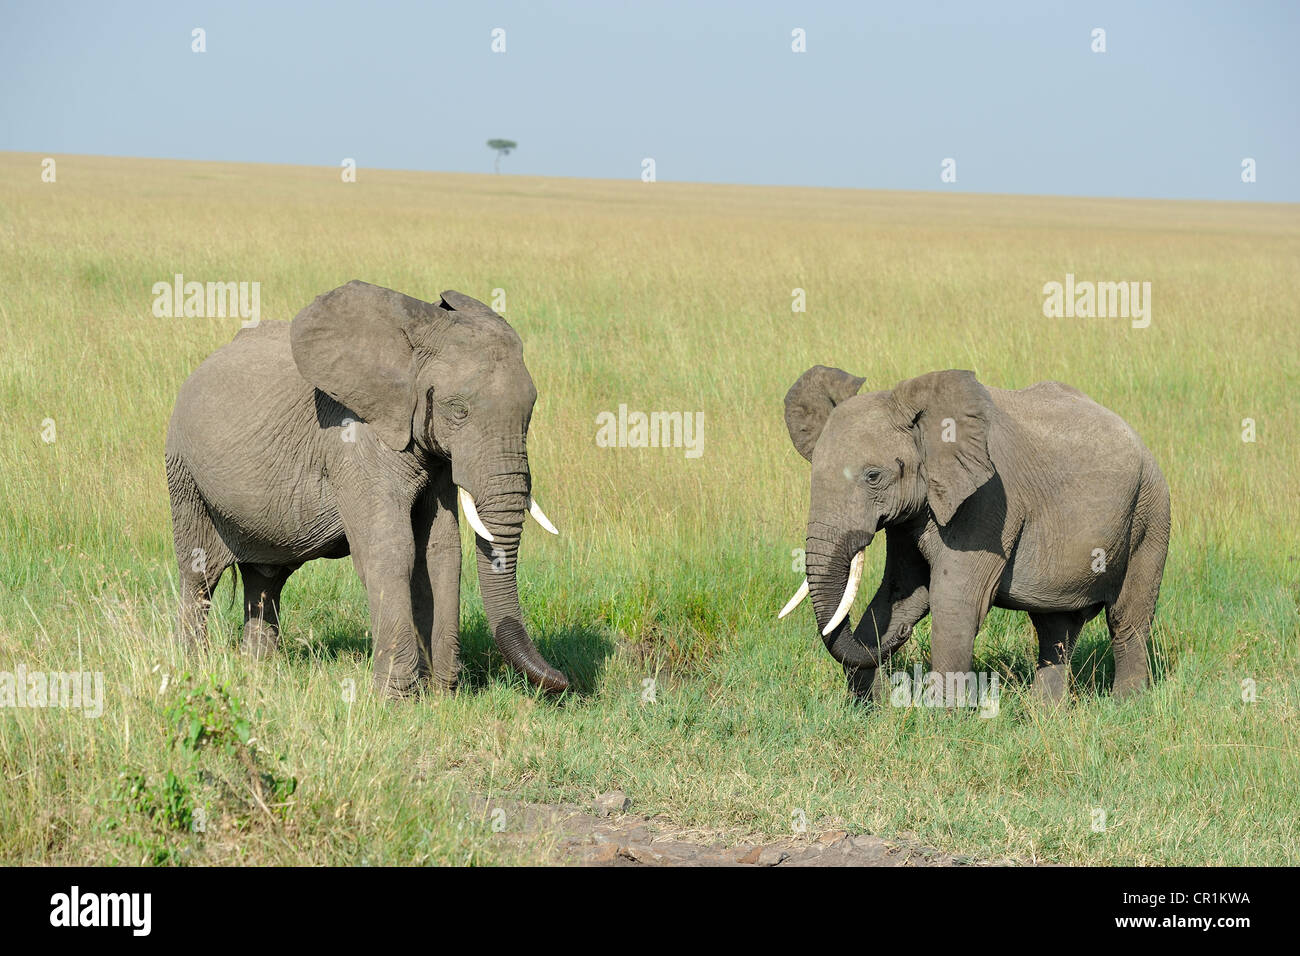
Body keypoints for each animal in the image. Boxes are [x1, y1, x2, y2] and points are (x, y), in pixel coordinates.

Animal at [165, 280, 568, 697]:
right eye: (458, 410)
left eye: (531, 409)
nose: (563, 679)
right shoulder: (353, 436)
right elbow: (390, 549)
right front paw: (396, 697)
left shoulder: (434, 451)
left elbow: (440, 550)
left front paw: (442, 694)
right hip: (183, 471)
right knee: (200, 571)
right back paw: (192, 667)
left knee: (265, 578)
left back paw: (259, 671)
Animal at [778, 366, 1170, 706]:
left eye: (873, 476)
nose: (902, 636)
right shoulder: (914, 511)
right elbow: (900, 592)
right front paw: (871, 709)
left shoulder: (991, 501)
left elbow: (954, 600)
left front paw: (942, 722)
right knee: (1056, 627)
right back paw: (1046, 714)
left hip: (1149, 513)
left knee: (1127, 618)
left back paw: (1126, 706)